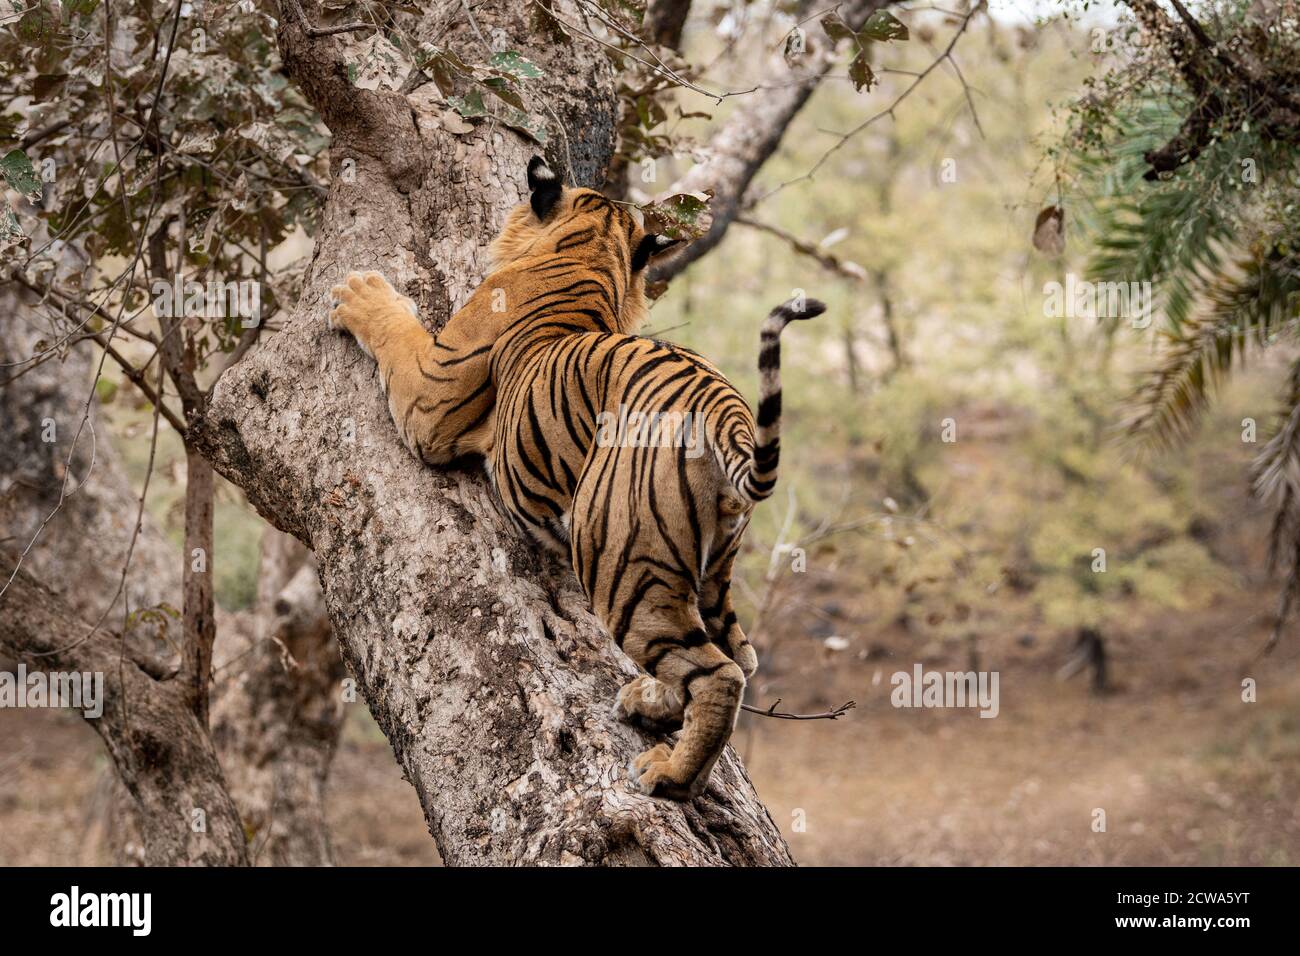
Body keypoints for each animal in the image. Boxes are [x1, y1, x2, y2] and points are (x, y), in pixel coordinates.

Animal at [328, 156, 823, 800]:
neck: (589, 250)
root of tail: (723, 406)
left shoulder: (428, 397)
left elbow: (395, 330)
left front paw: (358, 294)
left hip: (622, 562)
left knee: (719, 674)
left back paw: (670, 774)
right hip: (715, 566)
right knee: (741, 654)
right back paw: (648, 701)